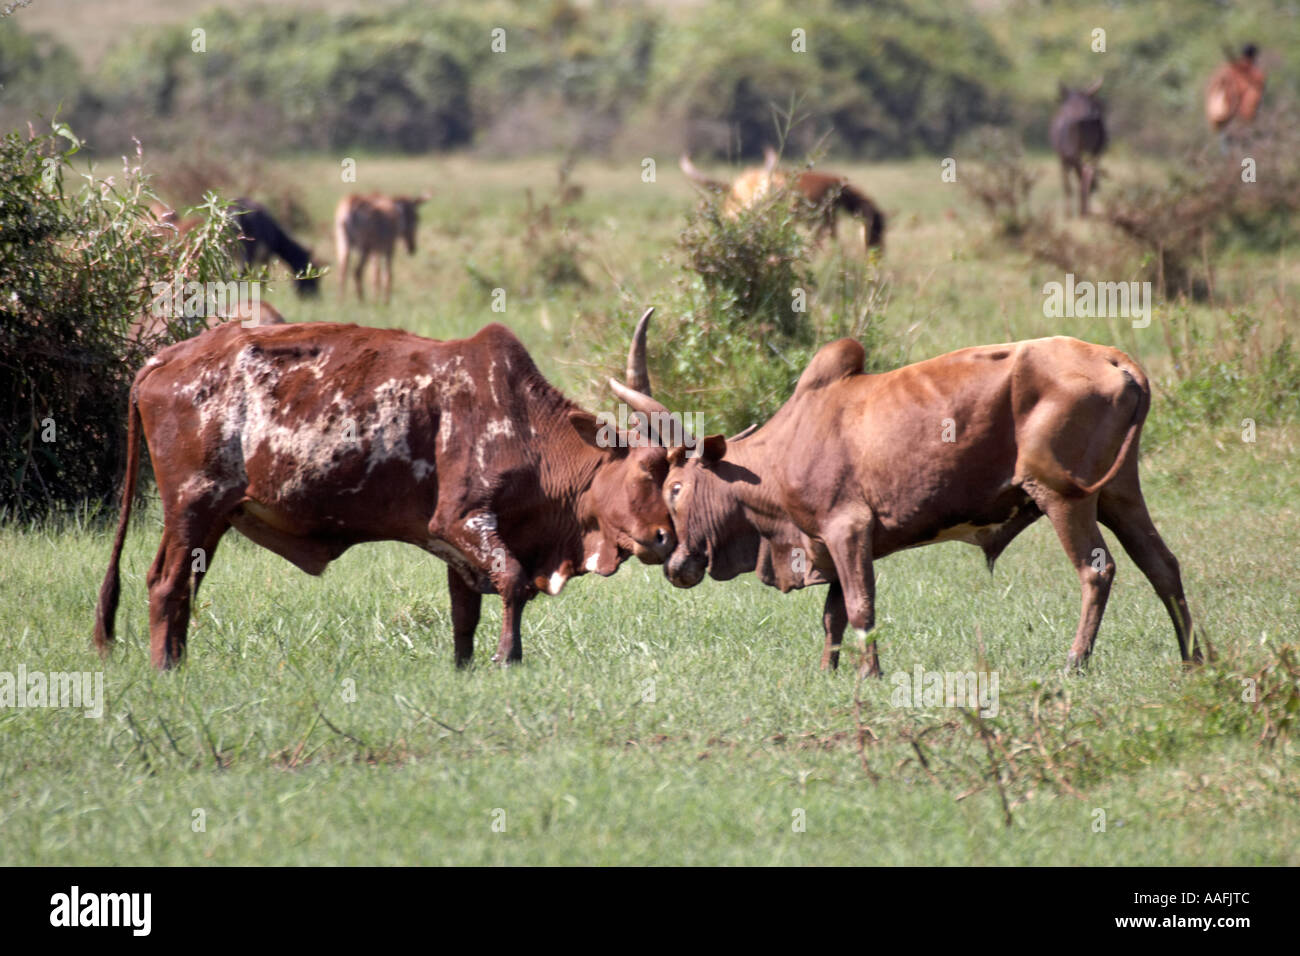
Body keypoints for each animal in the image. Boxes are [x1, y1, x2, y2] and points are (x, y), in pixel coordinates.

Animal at [93, 310, 675, 670]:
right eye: (649, 466)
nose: (667, 539)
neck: (524, 423)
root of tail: (163, 360)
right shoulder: (464, 520)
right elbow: (513, 583)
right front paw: (508, 658)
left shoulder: (458, 547)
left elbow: (466, 612)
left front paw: (466, 667)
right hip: (192, 506)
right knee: (166, 584)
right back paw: (166, 670)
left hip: (212, 520)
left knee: (182, 587)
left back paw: (178, 662)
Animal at [612, 336, 1198, 676]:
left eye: (676, 488)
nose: (673, 563)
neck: (783, 450)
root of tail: (1116, 360)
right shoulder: (829, 542)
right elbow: (833, 616)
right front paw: (828, 673)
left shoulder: (848, 530)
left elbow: (859, 607)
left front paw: (870, 676)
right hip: (1119, 493)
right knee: (1162, 565)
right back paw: (1194, 658)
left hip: (1063, 495)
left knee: (1097, 571)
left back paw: (1075, 662)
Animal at [1050, 80, 1107, 217]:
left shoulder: (1063, 157)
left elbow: (1067, 185)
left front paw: (1068, 213)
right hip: (1095, 151)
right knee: (1091, 171)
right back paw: (1086, 207)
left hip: (1076, 153)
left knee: (1084, 174)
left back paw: (1082, 210)